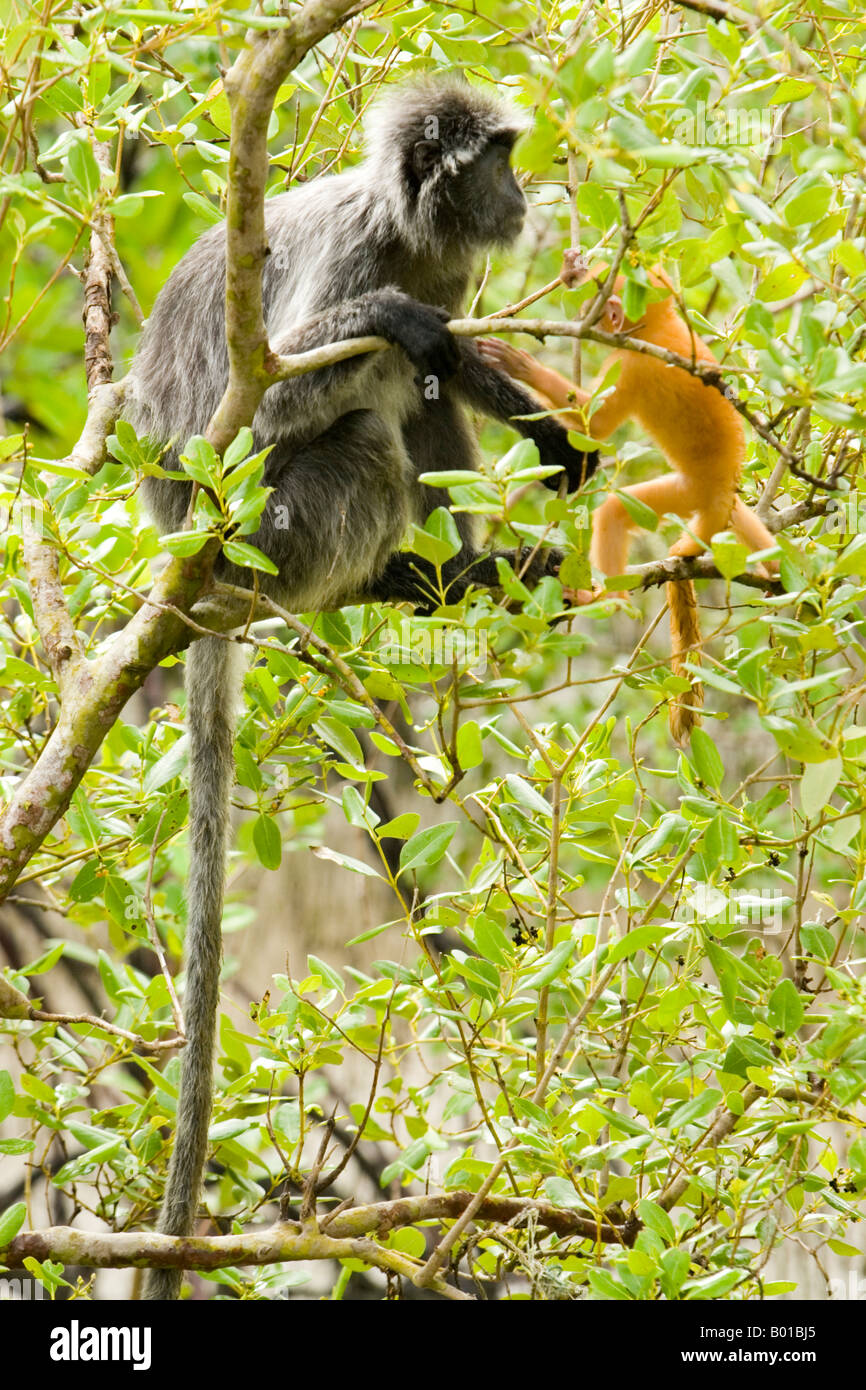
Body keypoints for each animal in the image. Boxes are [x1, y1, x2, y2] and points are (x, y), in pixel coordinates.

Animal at [124, 78, 598, 1299]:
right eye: (497, 161)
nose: (525, 194)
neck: (406, 238)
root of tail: (191, 574)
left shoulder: (450, 277)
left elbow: (454, 367)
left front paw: (554, 440)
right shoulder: (345, 261)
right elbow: (269, 409)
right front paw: (389, 318)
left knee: (419, 411)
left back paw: (461, 574)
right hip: (269, 535)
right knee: (370, 436)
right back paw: (402, 564)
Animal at [478, 253, 777, 743]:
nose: (588, 313)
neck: (658, 329)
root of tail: (722, 487)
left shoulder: (633, 364)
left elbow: (594, 425)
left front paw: (523, 367)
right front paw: (573, 270)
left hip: (691, 491)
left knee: (615, 512)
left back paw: (607, 599)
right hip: (713, 500)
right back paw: (775, 566)